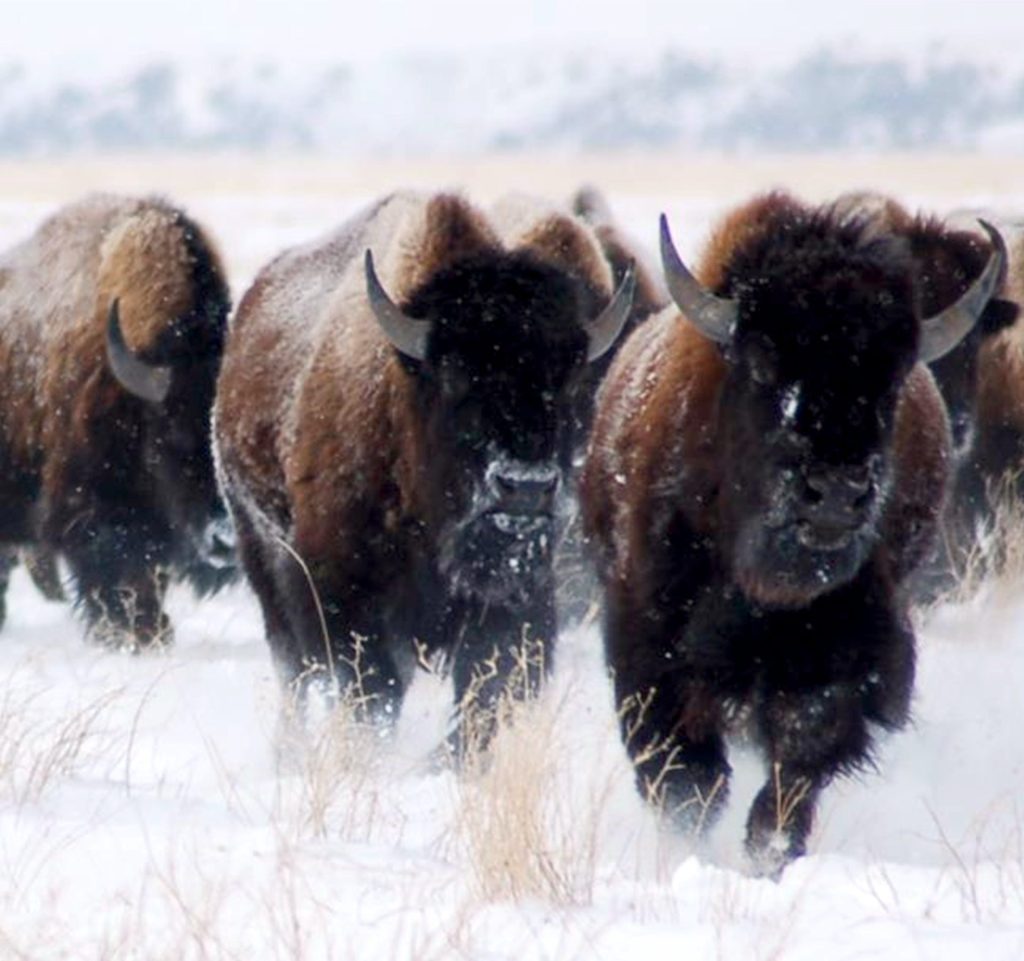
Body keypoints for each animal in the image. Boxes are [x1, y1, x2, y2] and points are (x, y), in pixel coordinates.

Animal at [214, 191, 633, 748]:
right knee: (294, 678)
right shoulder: (347, 597)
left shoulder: (513, 603)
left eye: (564, 379)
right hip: (261, 556)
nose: (524, 487)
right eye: (454, 374)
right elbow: (373, 693)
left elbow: (484, 699)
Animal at [581, 191, 1005, 876]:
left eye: (890, 380)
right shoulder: (648, 645)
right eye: (762, 363)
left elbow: (803, 750)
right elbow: (687, 778)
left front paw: (770, 852)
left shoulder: (848, 647)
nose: (834, 492)